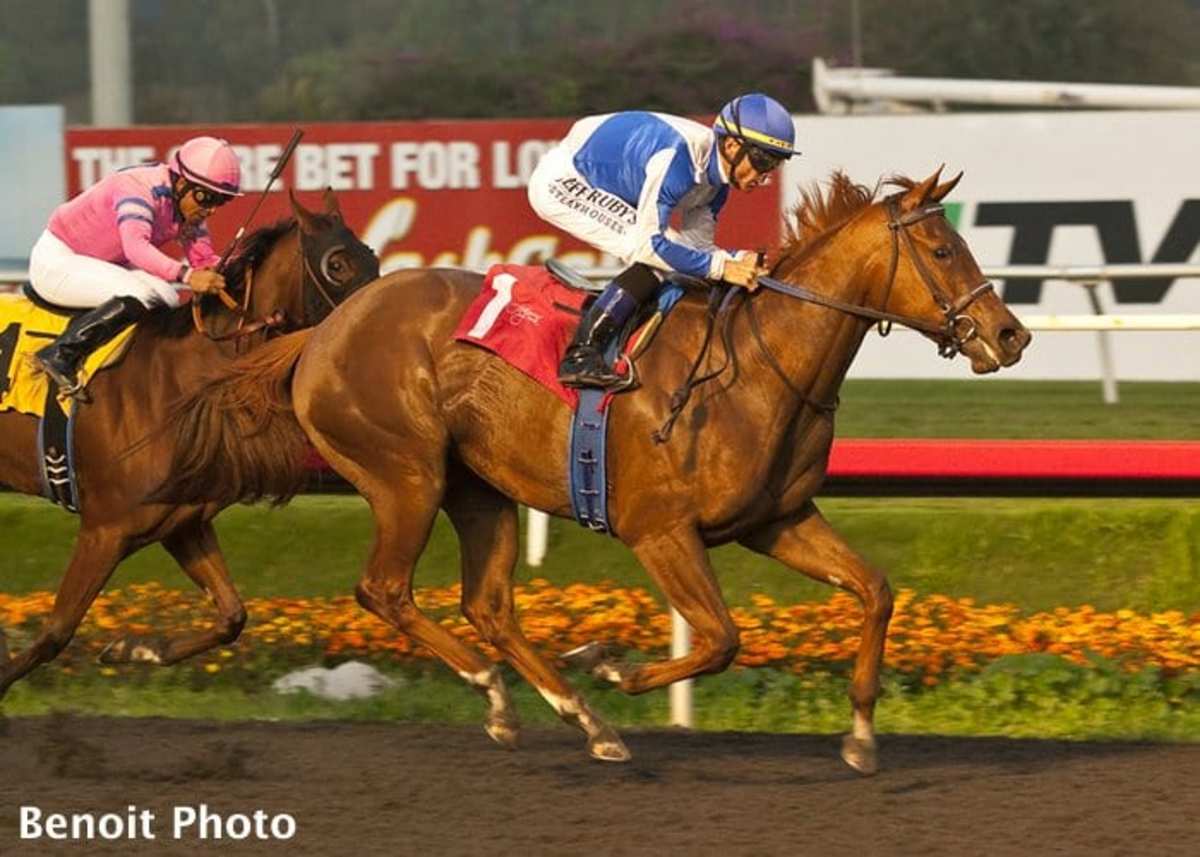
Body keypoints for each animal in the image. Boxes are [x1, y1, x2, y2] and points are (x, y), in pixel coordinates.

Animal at [0, 189, 379, 700]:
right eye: (336, 263)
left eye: (372, 256)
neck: (183, 381)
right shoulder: (104, 529)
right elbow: (56, 632)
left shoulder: (182, 523)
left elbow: (232, 615)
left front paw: (133, 648)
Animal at [158, 168, 1031, 774]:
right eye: (944, 248)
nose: (1010, 334)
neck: (757, 366)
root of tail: (323, 331)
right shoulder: (662, 531)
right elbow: (721, 638)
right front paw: (613, 661)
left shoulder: (776, 520)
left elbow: (876, 590)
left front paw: (859, 734)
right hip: (407, 474)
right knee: (386, 589)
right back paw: (501, 693)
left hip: (481, 488)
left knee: (489, 606)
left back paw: (578, 716)